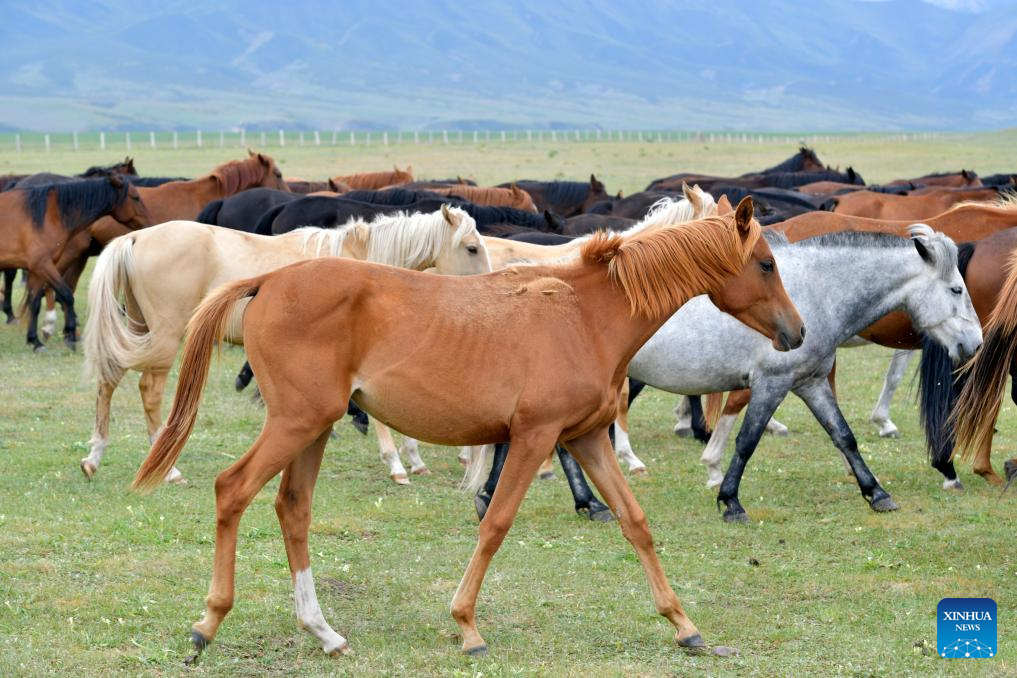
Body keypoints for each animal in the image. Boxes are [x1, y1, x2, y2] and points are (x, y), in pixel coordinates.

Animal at [0, 176, 150, 350]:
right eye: (135, 197)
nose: (149, 223)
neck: (49, 216)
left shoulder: (36, 270)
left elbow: (35, 303)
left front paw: (35, 341)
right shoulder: (43, 265)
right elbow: (66, 295)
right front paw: (70, 335)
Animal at [81, 206, 491, 485]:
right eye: (471, 248)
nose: (487, 286)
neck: (363, 264)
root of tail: (136, 237)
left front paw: (415, 459)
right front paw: (398, 464)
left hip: (140, 329)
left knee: (109, 379)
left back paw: (94, 456)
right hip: (165, 337)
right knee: (149, 391)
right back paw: (168, 468)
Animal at [129, 199, 803, 660]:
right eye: (766, 263)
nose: (797, 332)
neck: (585, 314)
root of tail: (268, 280)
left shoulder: (585, 438)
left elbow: (635, 522)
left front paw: (684, 625)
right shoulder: (535, 438)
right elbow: (495, 524)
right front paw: (467, 626)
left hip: (311, 428)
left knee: (292, 509)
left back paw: (323, 631)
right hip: (296, 425)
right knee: (233, 490)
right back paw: (208, 623)